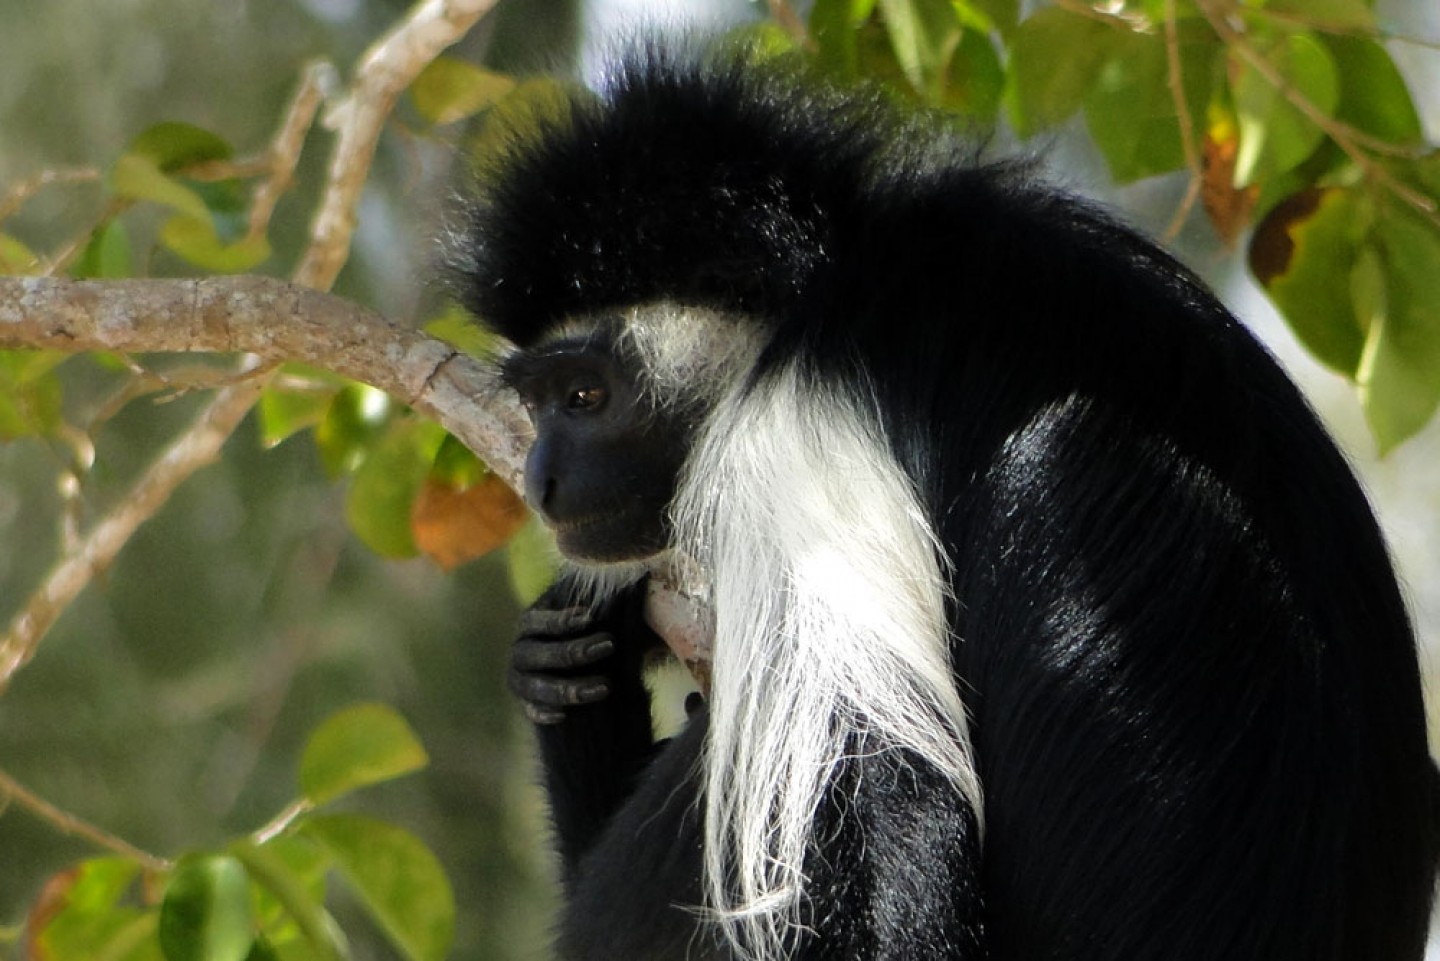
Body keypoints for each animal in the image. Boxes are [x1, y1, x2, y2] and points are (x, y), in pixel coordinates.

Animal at [449, 47, 1439, 961]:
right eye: (537, 401)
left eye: (584, 396)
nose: (540, 480)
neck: (823, 293)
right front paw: (570, 659)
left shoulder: (796, 440)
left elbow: (881, 860)